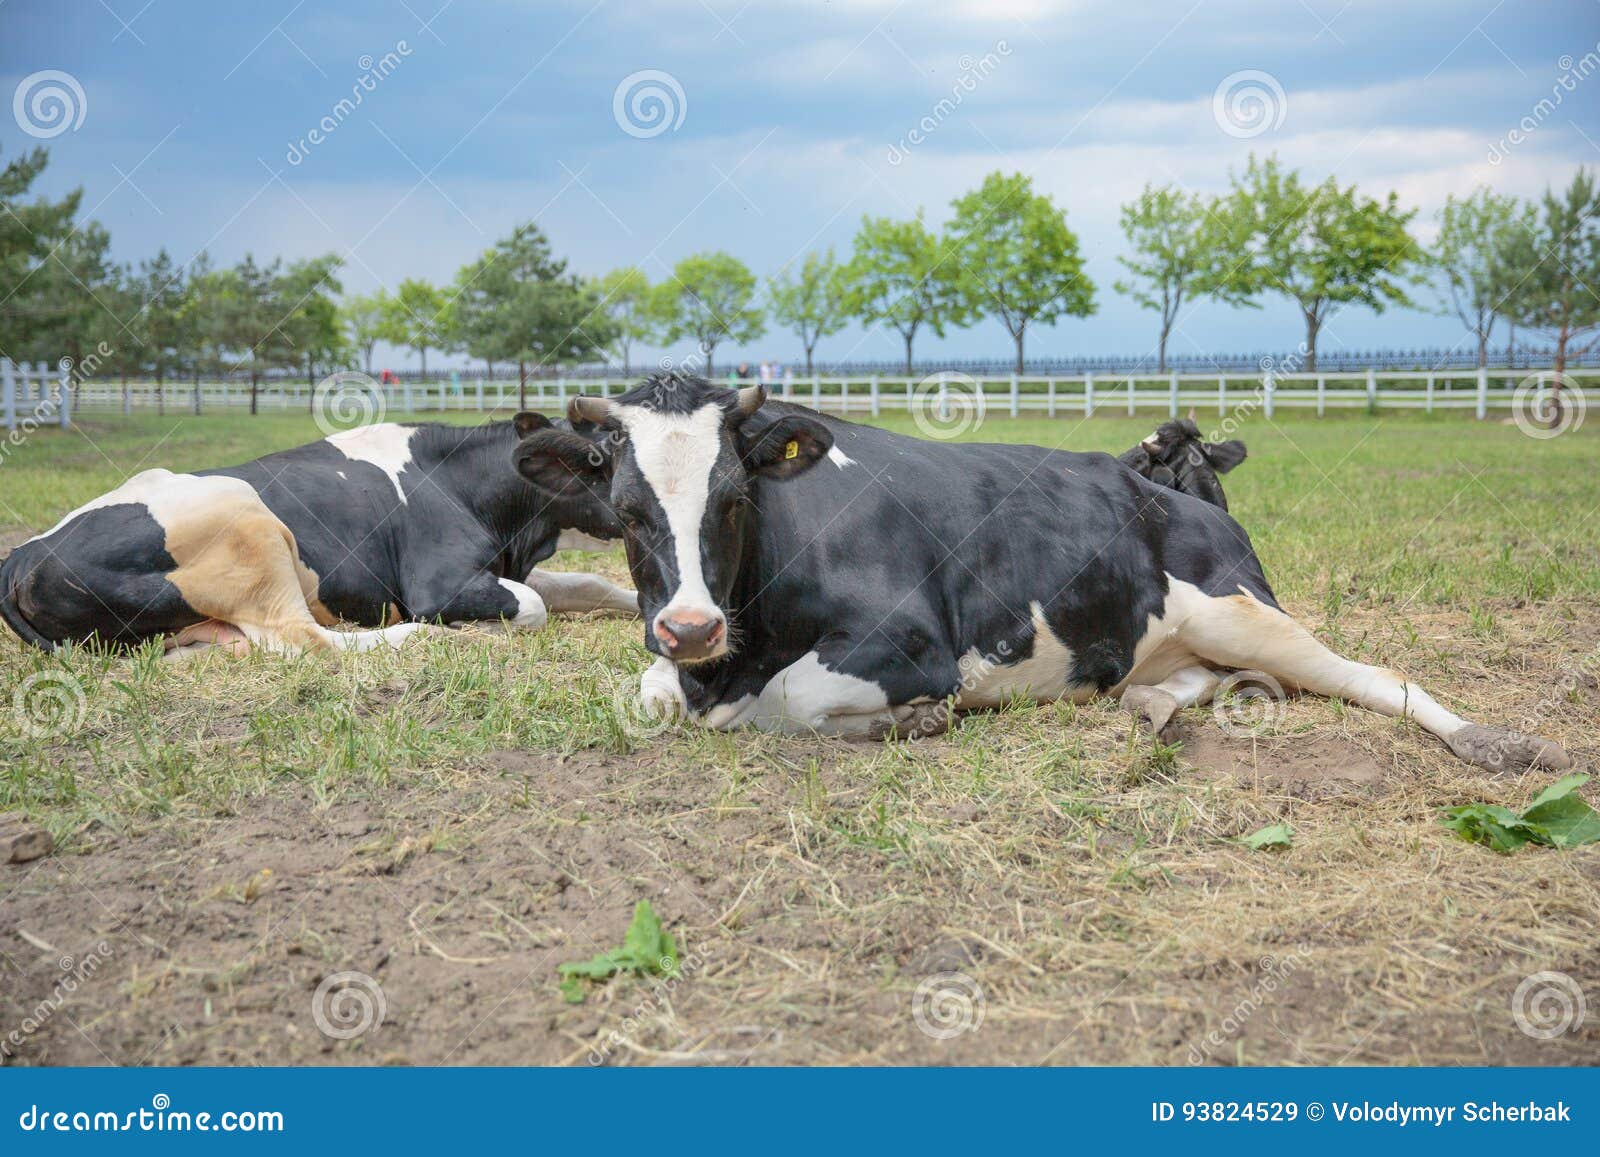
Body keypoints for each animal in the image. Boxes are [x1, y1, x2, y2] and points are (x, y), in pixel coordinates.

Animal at [0, 414, 637, 656]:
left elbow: (590, 585)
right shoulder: (442, 583)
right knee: (304, 638)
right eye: (603, 461)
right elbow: (532, 606)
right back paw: (421, 637)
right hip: (249, 526)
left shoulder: (502, 565)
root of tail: (25, 551)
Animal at [510, 373, 1569, 773]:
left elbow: (785, 705)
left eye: (732, 496)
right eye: (625, 511)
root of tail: (1182, 500)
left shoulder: (913, 644)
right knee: (1184, 675)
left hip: (1239, 610)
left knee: (1373, 675)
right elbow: (648, 694)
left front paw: (910, 720)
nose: (690, 625)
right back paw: (1147, 709)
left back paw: (1497, 743)